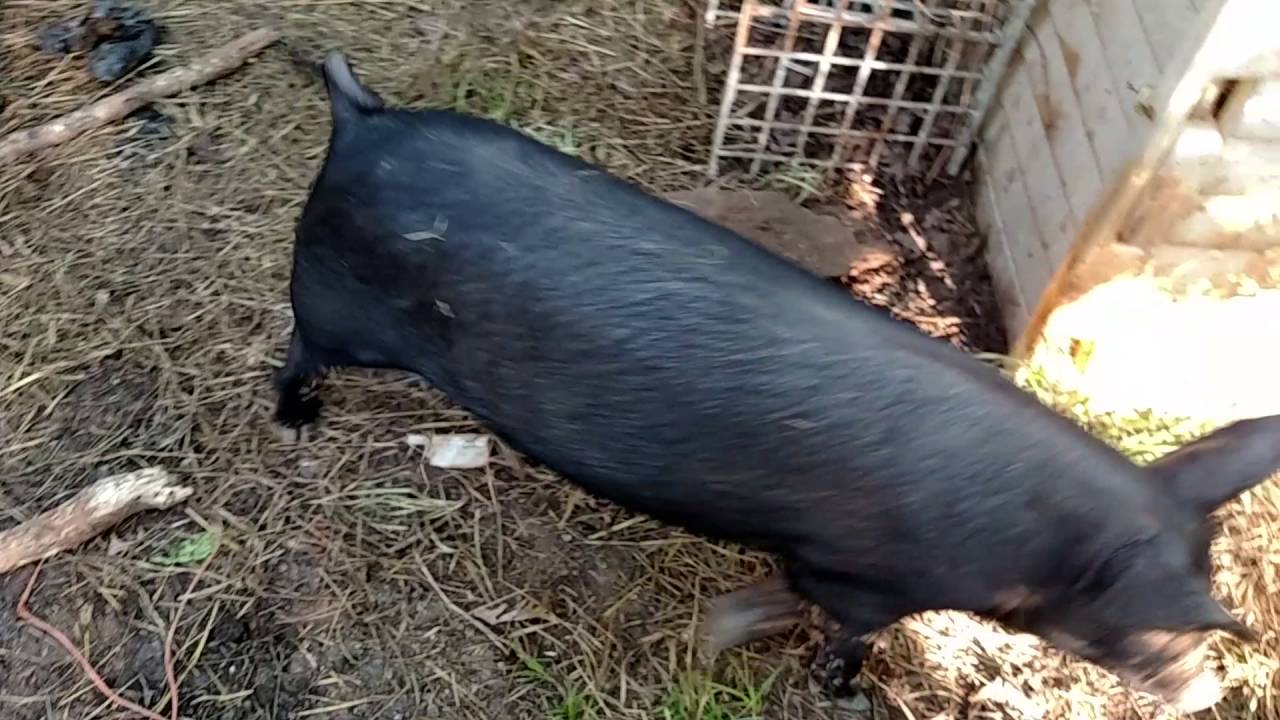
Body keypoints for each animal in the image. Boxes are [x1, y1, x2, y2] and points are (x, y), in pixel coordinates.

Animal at [275, 51, 1280, 713]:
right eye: (1165, 627)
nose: (1202, 688)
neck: (1040, 548)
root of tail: (364, 118)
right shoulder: (855, 571)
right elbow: (838, 624)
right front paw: (776, 659)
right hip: (334, 308)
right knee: (294, 351)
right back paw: (296, 423)